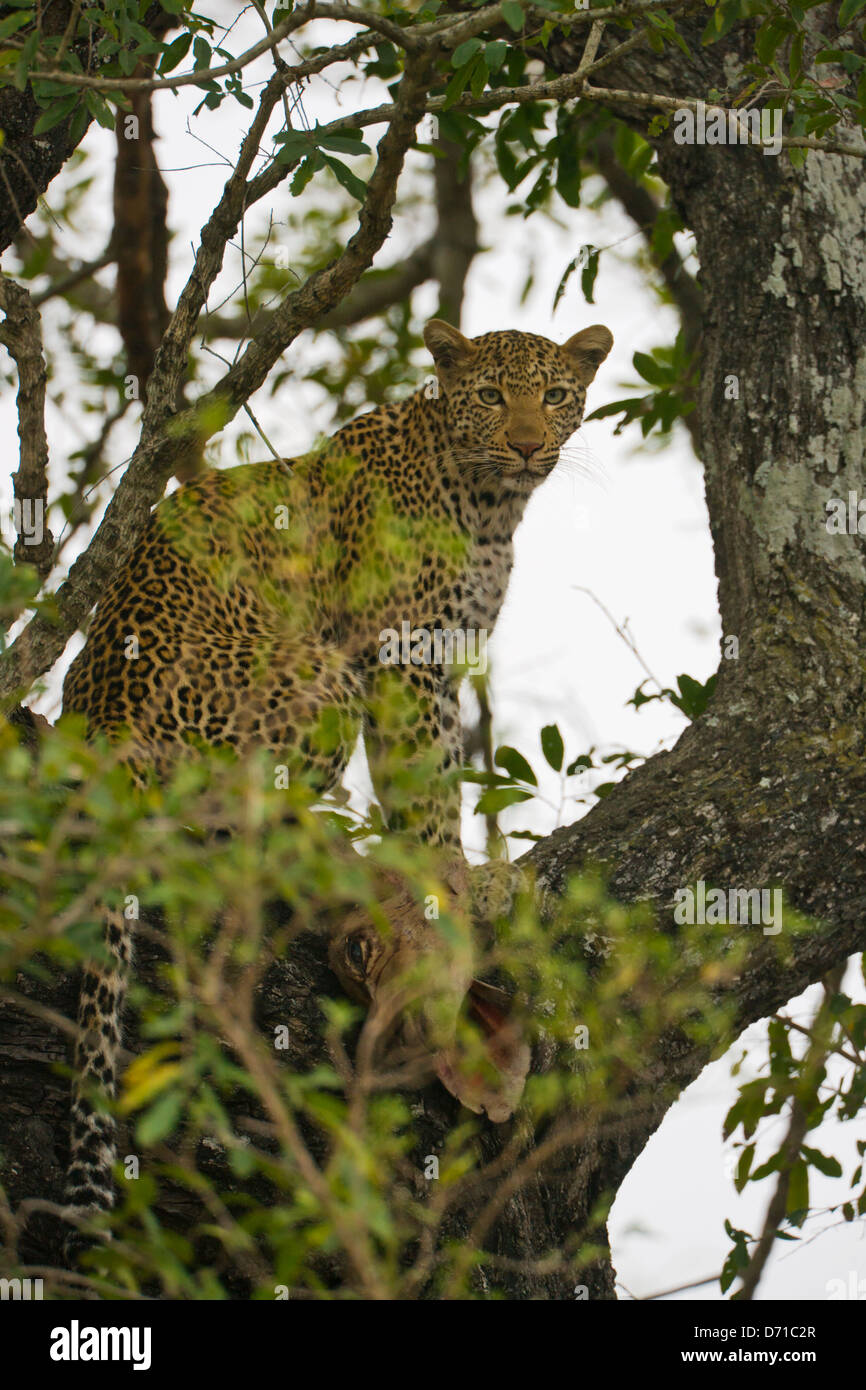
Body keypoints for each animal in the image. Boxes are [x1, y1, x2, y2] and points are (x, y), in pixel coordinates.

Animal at [59, 317, 613, 1246]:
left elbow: (435, 770)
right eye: (491, 394)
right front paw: (454, 877)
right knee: (222, 824)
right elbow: (426, 787)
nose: (528, 443)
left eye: (556, 394)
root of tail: (102, 728)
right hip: (320, 679)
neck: (488, 501)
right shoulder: (400, 655)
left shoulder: (439, 658)